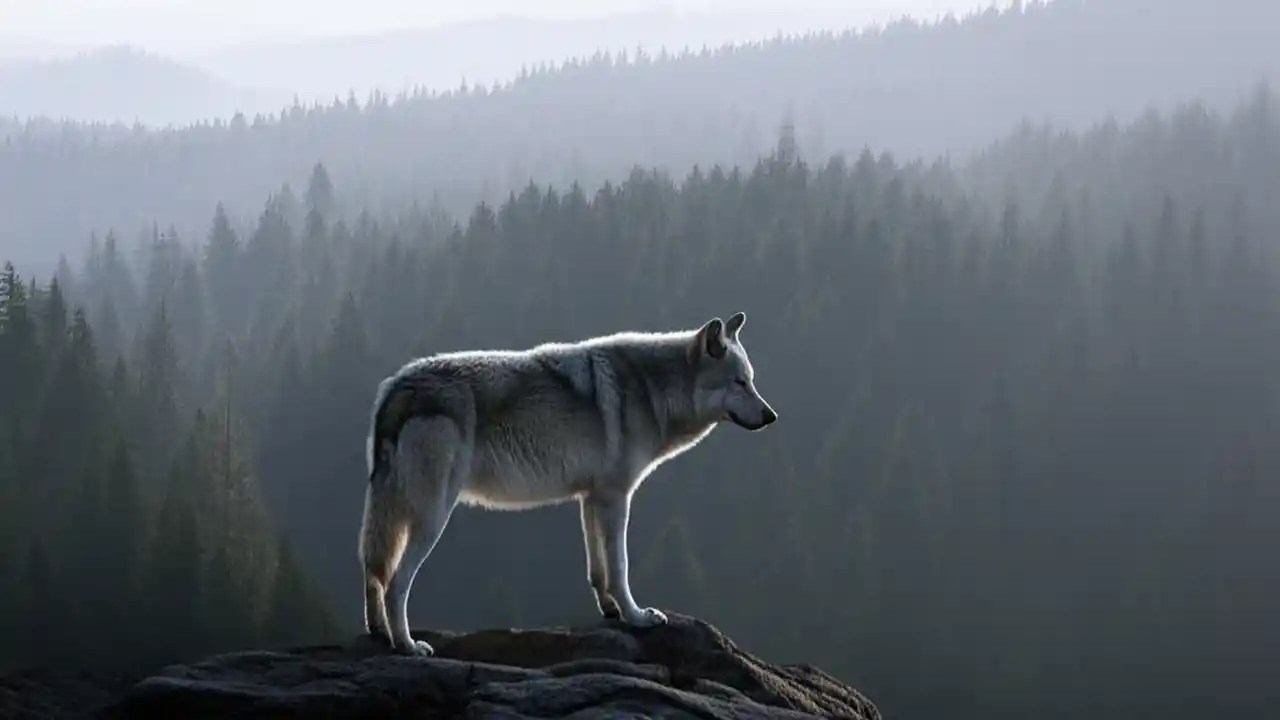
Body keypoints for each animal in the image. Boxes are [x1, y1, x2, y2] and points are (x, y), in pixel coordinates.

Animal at [357, 312, 778, 655]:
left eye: (751, 381)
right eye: (739, 382)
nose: (772, 416)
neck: (650, 390)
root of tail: (395, 388)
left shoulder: (590, 498)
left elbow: (598, 571)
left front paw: (610, 611)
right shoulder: (616, 498)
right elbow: (620, 567)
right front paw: (637, 616)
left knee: (372, 570)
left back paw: (379, 633)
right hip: (432, 518)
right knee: (394, 581)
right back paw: (407, 645)